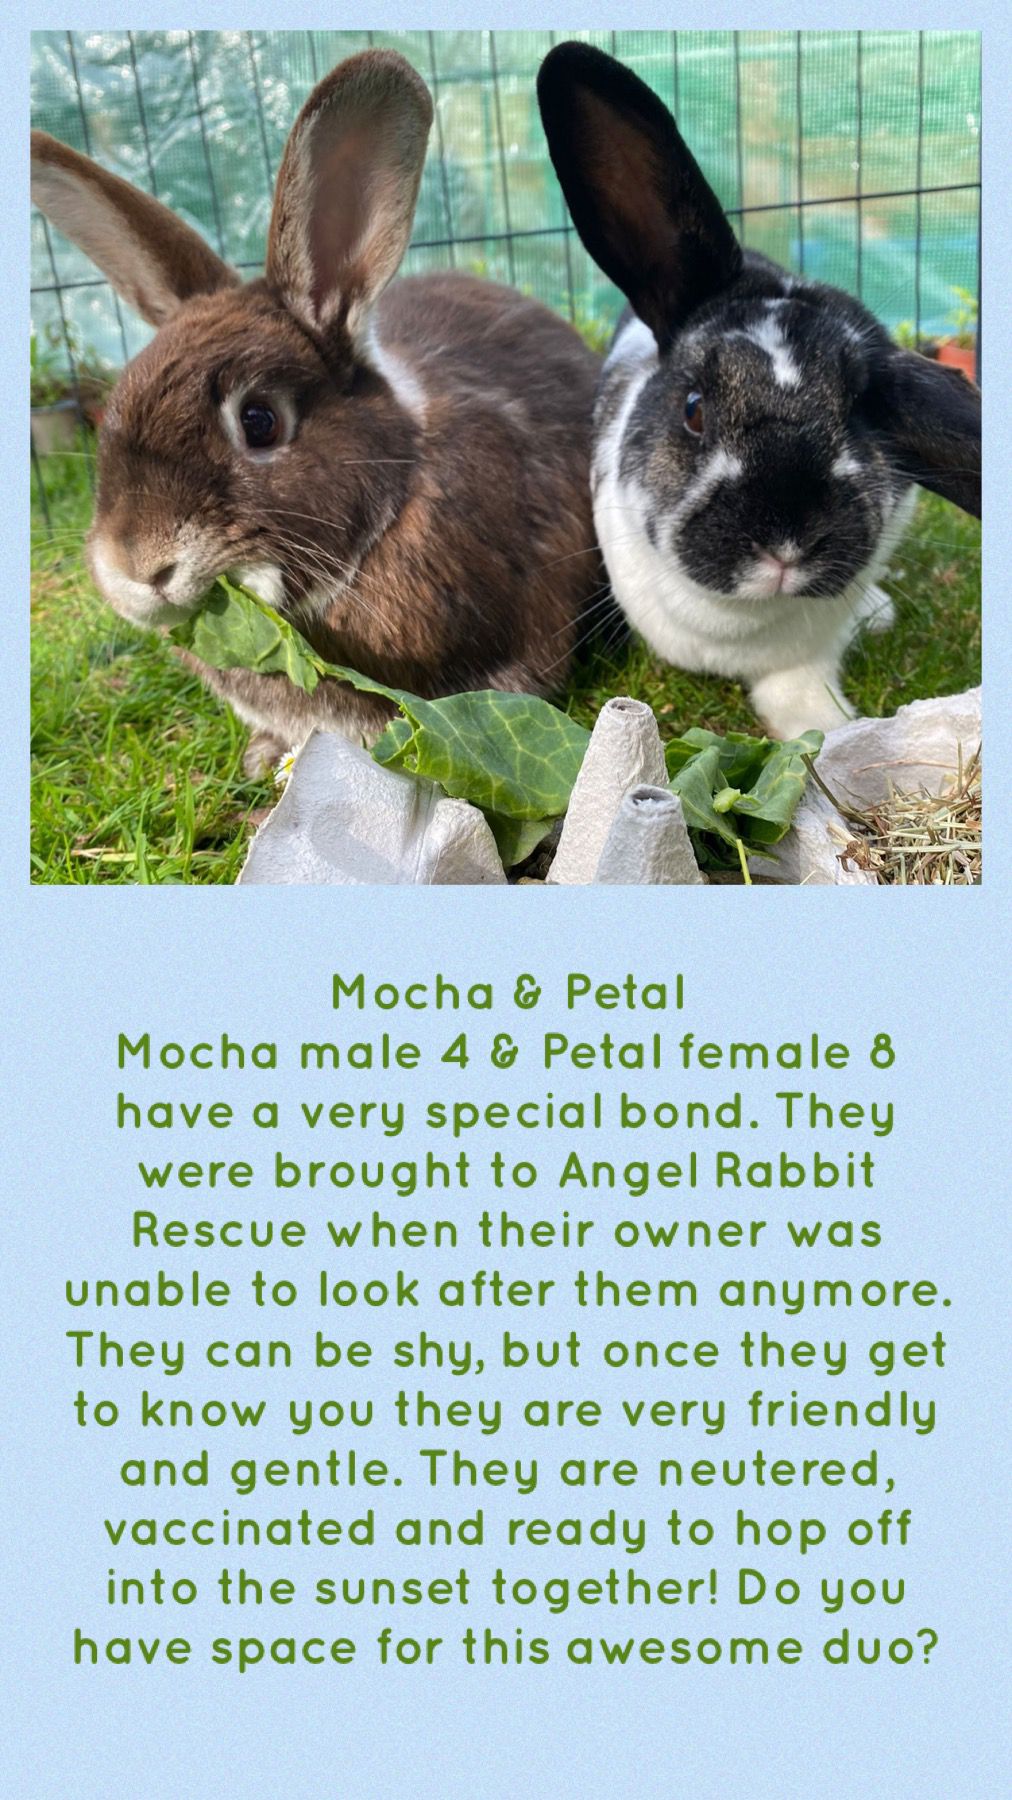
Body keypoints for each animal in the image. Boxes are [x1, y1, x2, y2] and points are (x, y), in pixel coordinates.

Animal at [537, 43, 981, 740]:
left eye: (863, 417)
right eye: (693, 409)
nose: (786, 540)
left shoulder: (808, 655)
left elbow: (798, 687)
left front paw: (821, 728)